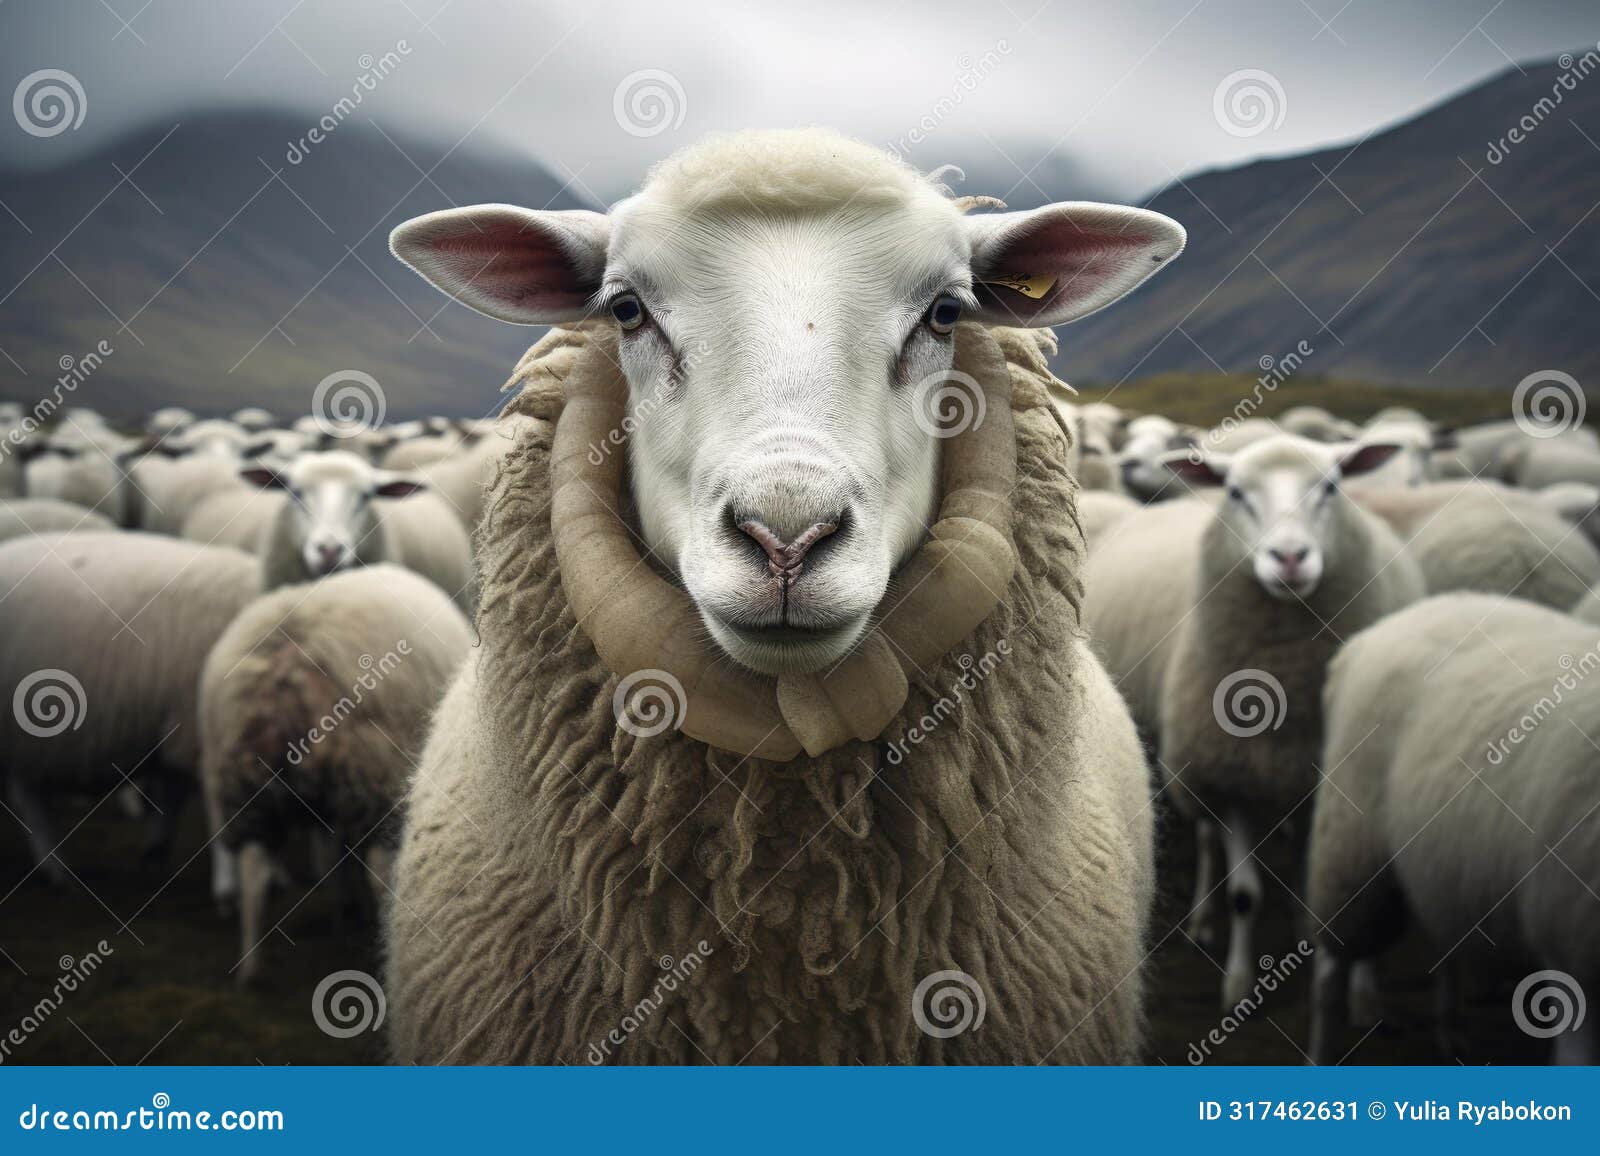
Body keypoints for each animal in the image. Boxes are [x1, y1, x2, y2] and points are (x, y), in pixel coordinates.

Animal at [0, 532, 261, 886]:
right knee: (29, 796)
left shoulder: (174, 726)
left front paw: (157, 850)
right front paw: (228, 882)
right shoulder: (199, 734)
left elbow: (173, 795)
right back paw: (55, 866)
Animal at [198, 563, 472, 984]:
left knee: (254, 873)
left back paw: (251, 970)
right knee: (379, 874)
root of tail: (289, 661)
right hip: (374, 772)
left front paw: (344, 911)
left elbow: (334, 856)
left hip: (248, 789)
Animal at [1154, 435, 1425, 1009]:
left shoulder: (1333, 782)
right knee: (1206, 839)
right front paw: (1237, 985)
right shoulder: (1229, 779)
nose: (1291, 558)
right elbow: (1244, 894)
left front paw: (1361, 990)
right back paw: (1202, 920)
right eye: (1235, 492)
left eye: (1332, 486)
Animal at [1308, 593, 1600, 1064]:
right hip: (1351, 849)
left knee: (1445, 930)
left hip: (1439, 856)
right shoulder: (1569, 943)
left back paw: (1451, 1031)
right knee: (1330, 971)